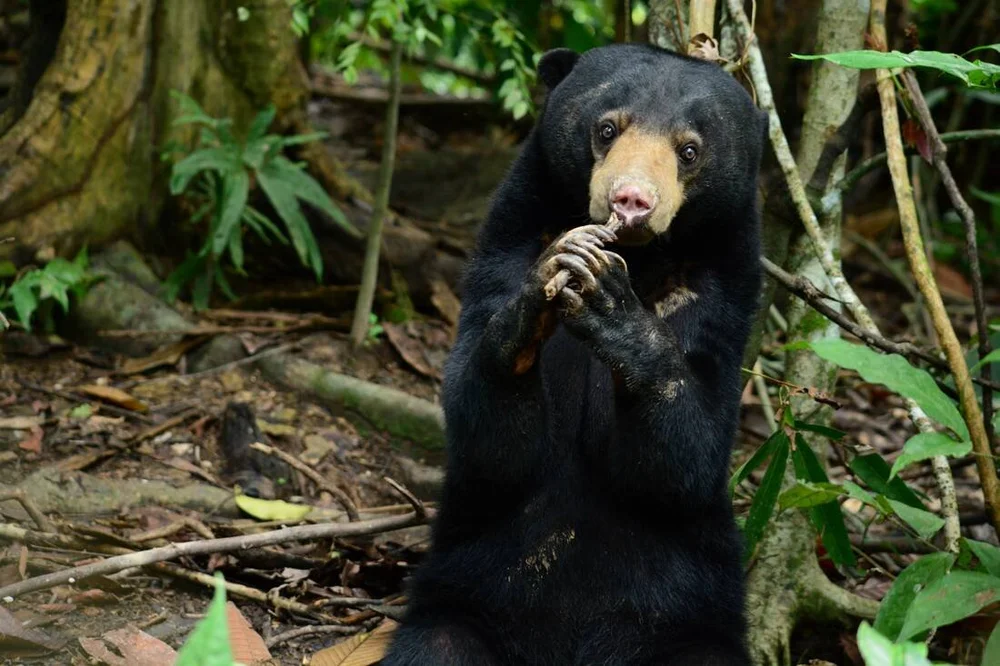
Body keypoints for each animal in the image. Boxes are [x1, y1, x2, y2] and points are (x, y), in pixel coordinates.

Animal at [382, 43, 768, 666]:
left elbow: (686, 455)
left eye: (689, 150)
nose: (630, 202)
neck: (645, 261)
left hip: (687, 615)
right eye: (607, 128)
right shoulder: (509, 240)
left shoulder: (720, 290)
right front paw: (541, 293)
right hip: (464, 599)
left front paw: (611, 305)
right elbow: (488, 438)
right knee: (438, 645)